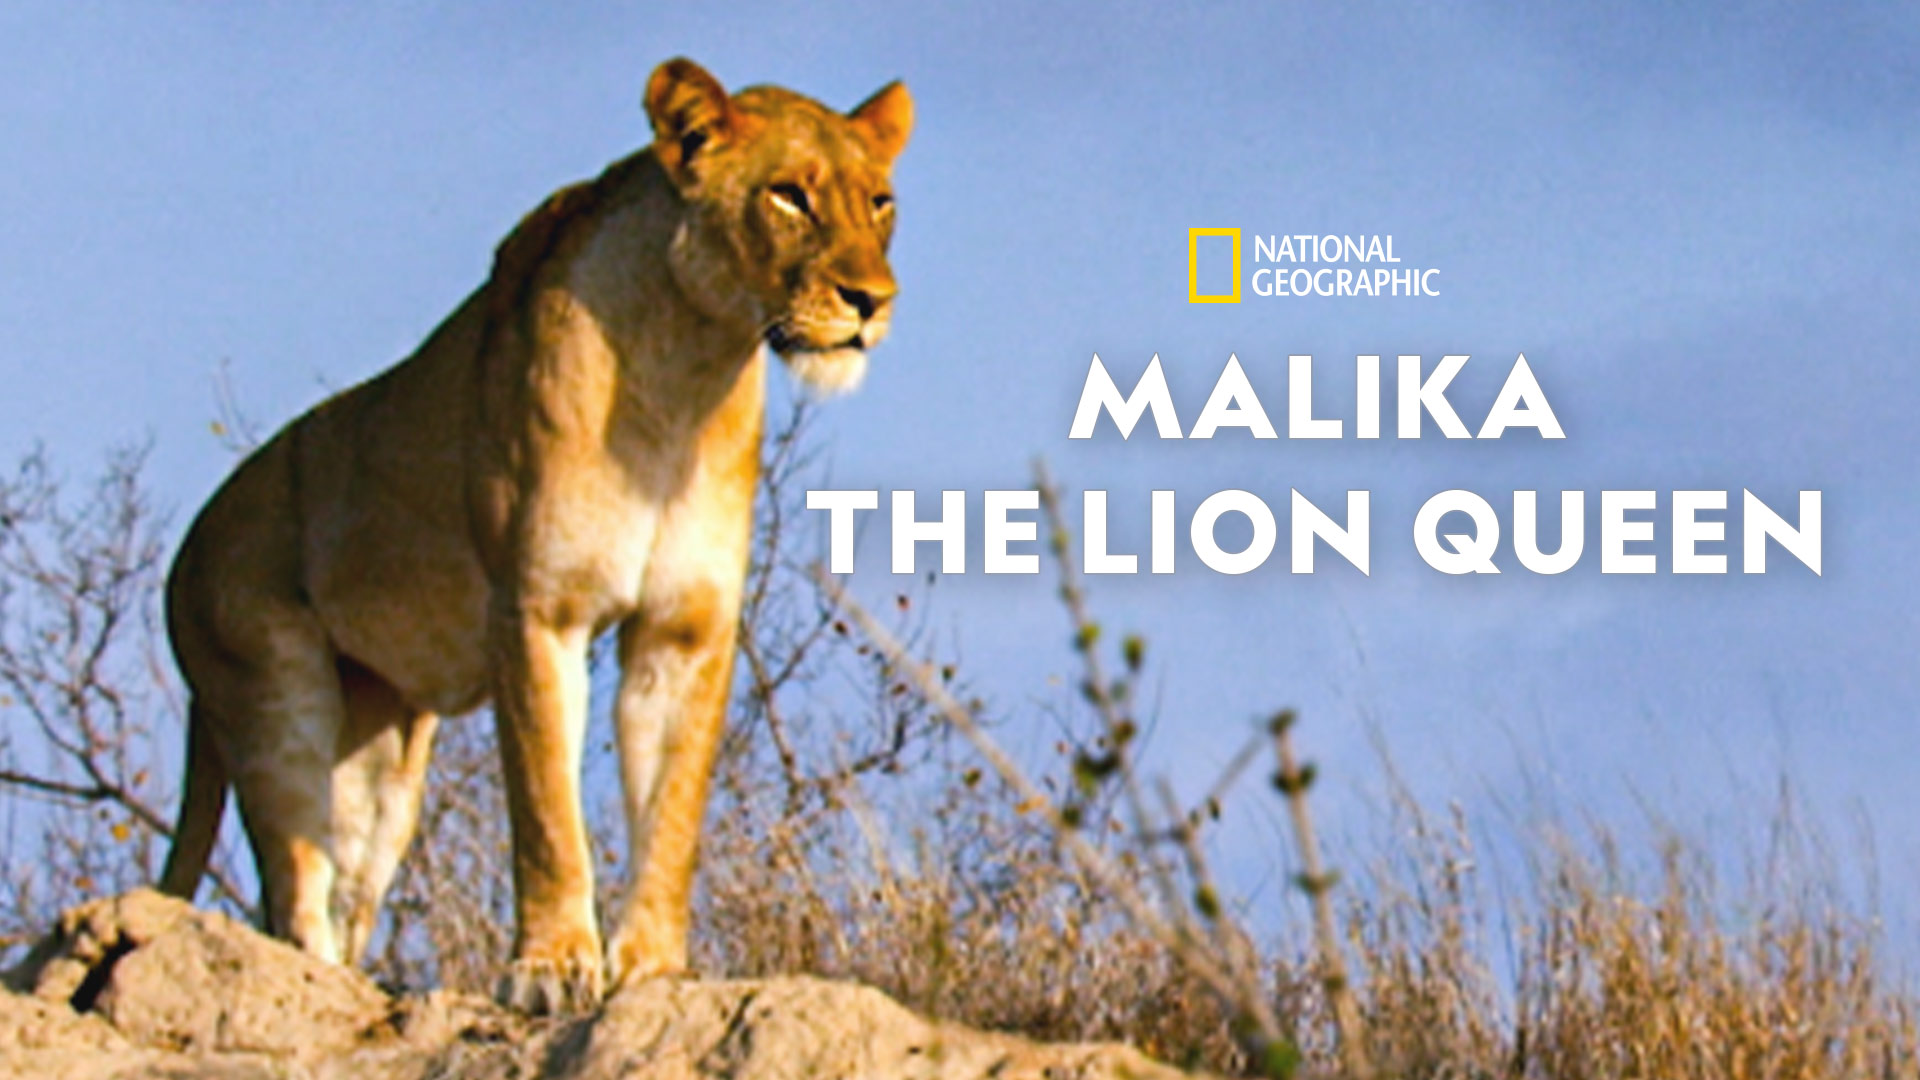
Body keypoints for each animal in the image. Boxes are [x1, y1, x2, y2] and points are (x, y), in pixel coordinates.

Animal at [157, 58, 912, 1013]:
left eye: (879, 203)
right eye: (788, 196)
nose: (872, 301)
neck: (683, 373)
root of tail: (188, 543)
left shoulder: (685, 628)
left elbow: (672, 812)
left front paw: (655, 968)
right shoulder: (537, 609)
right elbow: (547, 806)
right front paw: (551, 970)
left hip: (380, 769)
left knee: (342, 883)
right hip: (273, 691)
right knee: (295, 892)